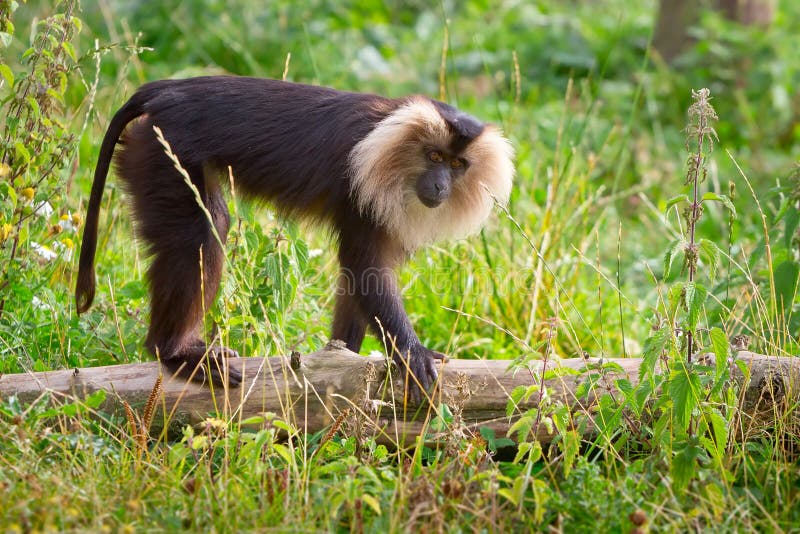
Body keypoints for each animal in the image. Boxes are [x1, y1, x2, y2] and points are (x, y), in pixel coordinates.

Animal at [75, 76, 514, 398]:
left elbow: (361, 282)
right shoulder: (363, 189)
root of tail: (166, 90)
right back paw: (174, 353)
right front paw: (412, 352)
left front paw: (343, 361)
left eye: (458, 165)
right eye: (435, 157)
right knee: (203, 229)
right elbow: (364, 268)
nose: (440, 186)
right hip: (163, 149)